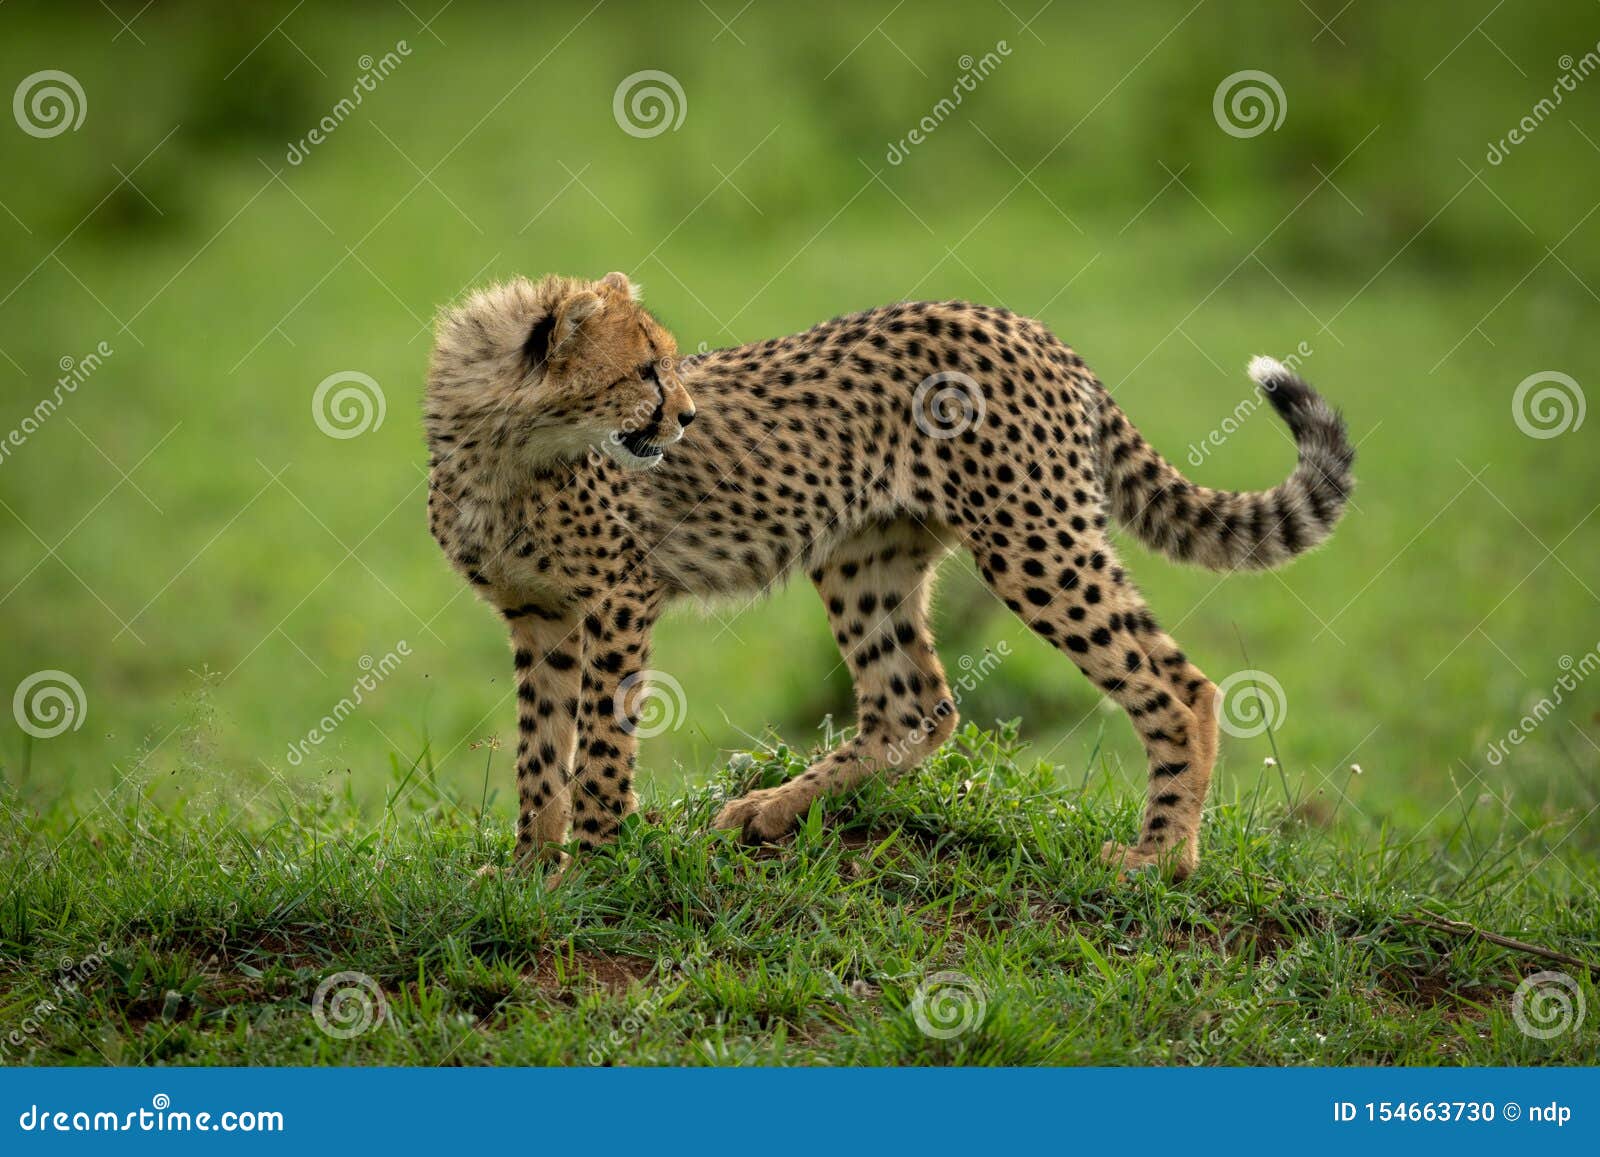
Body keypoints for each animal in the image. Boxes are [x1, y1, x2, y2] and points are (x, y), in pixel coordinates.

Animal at [424, 271, 1354, 879]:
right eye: (644, 371)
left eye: (670, 364)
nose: (685, 417)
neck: (504, 447)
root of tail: (1025, 325)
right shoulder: (538, 612)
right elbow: (540, 745)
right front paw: (528, 867)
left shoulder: (619, 595)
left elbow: (600, 739)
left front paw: (595, 858)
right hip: (864, 552)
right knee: (916, 704)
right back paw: (773, 806)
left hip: (1033, 540)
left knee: (1178, 683)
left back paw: (1158, 855)